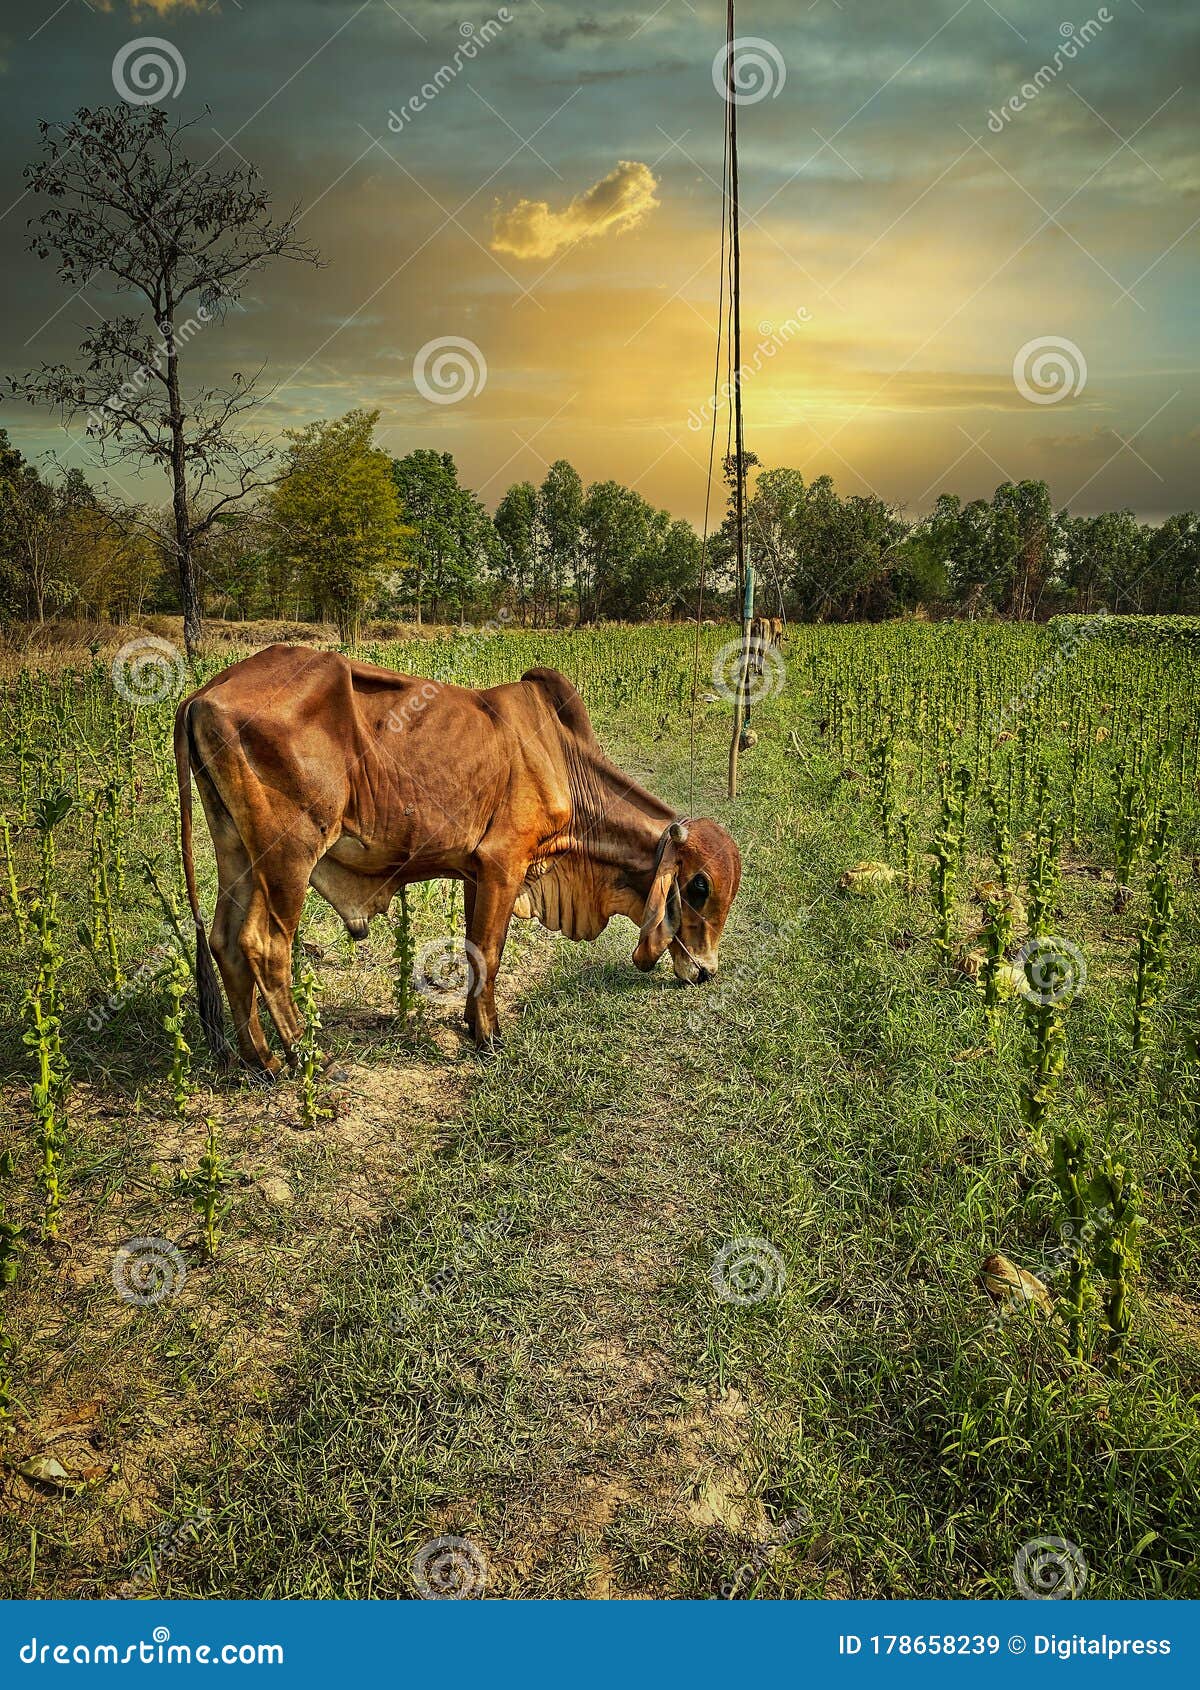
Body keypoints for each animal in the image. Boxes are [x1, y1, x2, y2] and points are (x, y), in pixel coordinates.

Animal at [174, 646, 742, 1077]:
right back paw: (310, 1057)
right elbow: (489, 954)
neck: (563, 762)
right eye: (698, 888)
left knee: (225, 940)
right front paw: (489, 1038)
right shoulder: (505, 863)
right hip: (289, 856)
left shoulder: (477, 872)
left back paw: (261, 1060)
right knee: (265, 945)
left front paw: (472, 1024)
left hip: (236, 849)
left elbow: (474, 950)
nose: (705, 972)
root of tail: (204, 693)